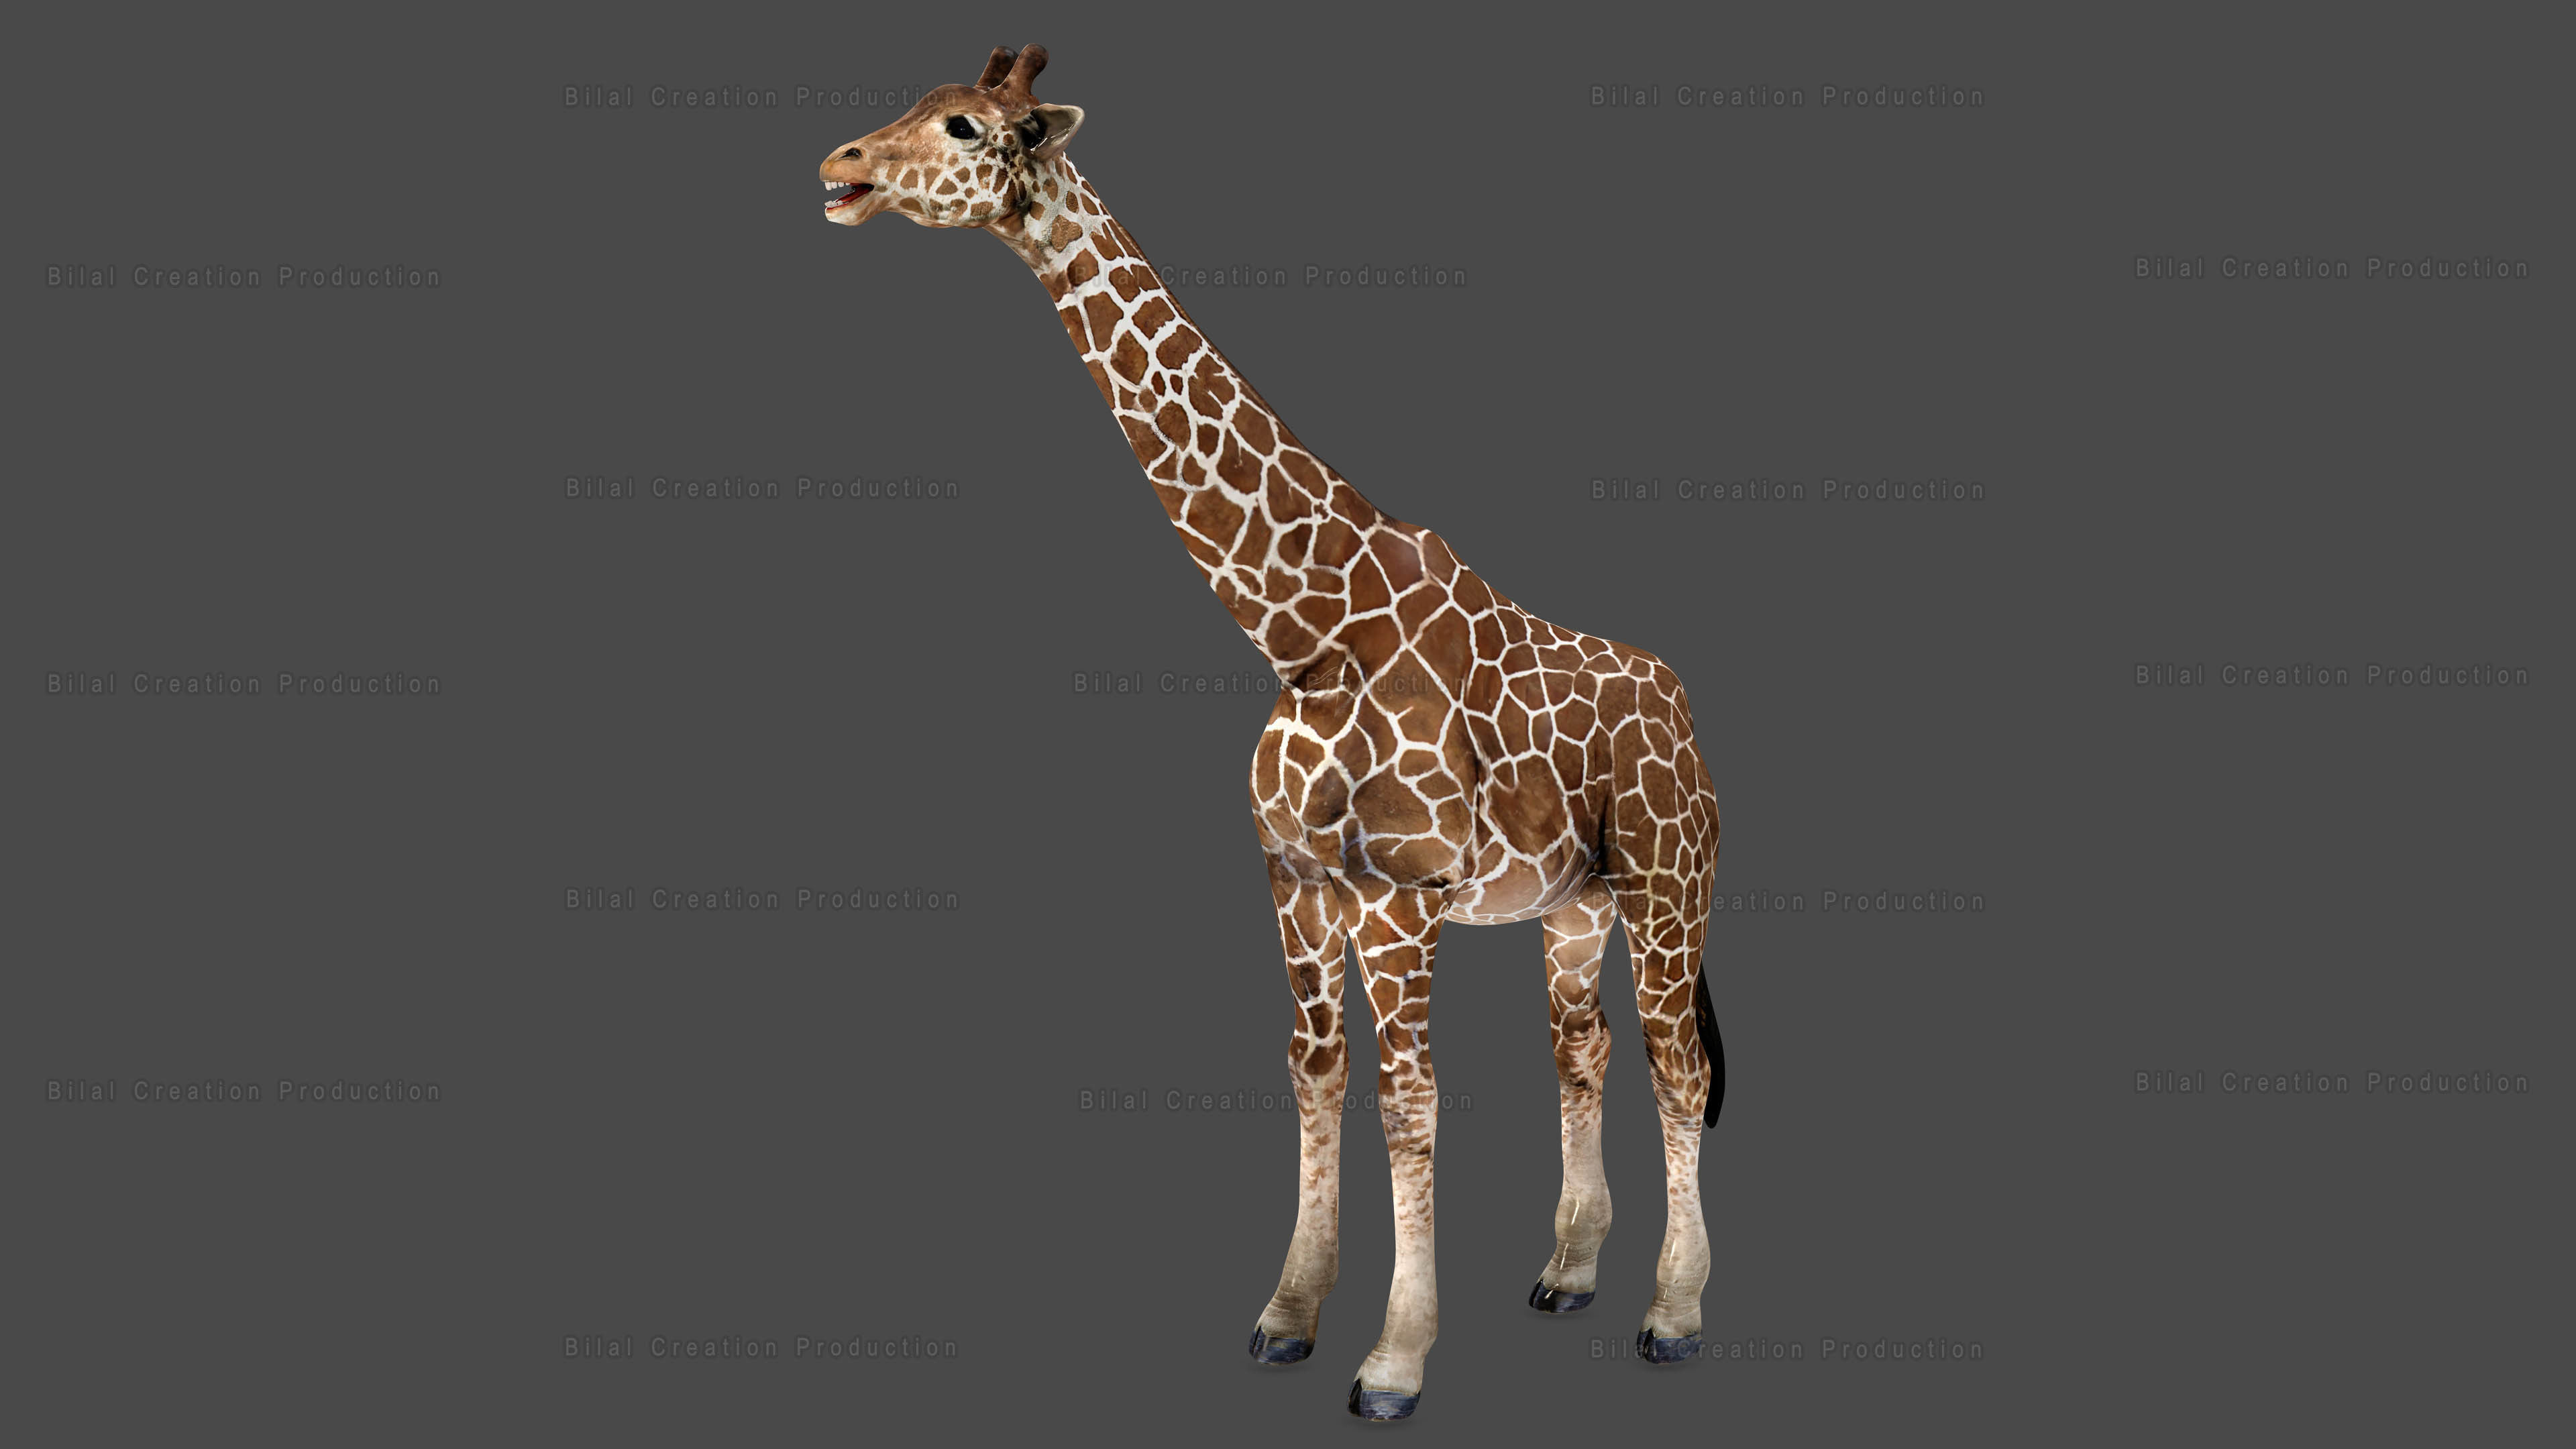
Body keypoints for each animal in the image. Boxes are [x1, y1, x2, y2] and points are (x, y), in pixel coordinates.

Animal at [818, 45, 1724, 1420]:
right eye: (915, 107)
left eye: (967, 127)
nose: (841, 167)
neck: (1306, 627)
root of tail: (1685, 712)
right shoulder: (1294, 881)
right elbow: (1315, 1074)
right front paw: (1288, 1319)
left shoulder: (1401, 896)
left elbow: (1411, 1103)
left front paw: (1394, 1363)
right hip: (1574, 905)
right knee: (1588, 1048)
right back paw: (1569, 1275)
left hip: (1670, 886)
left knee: (1680, 1068)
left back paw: (1673, 1315)